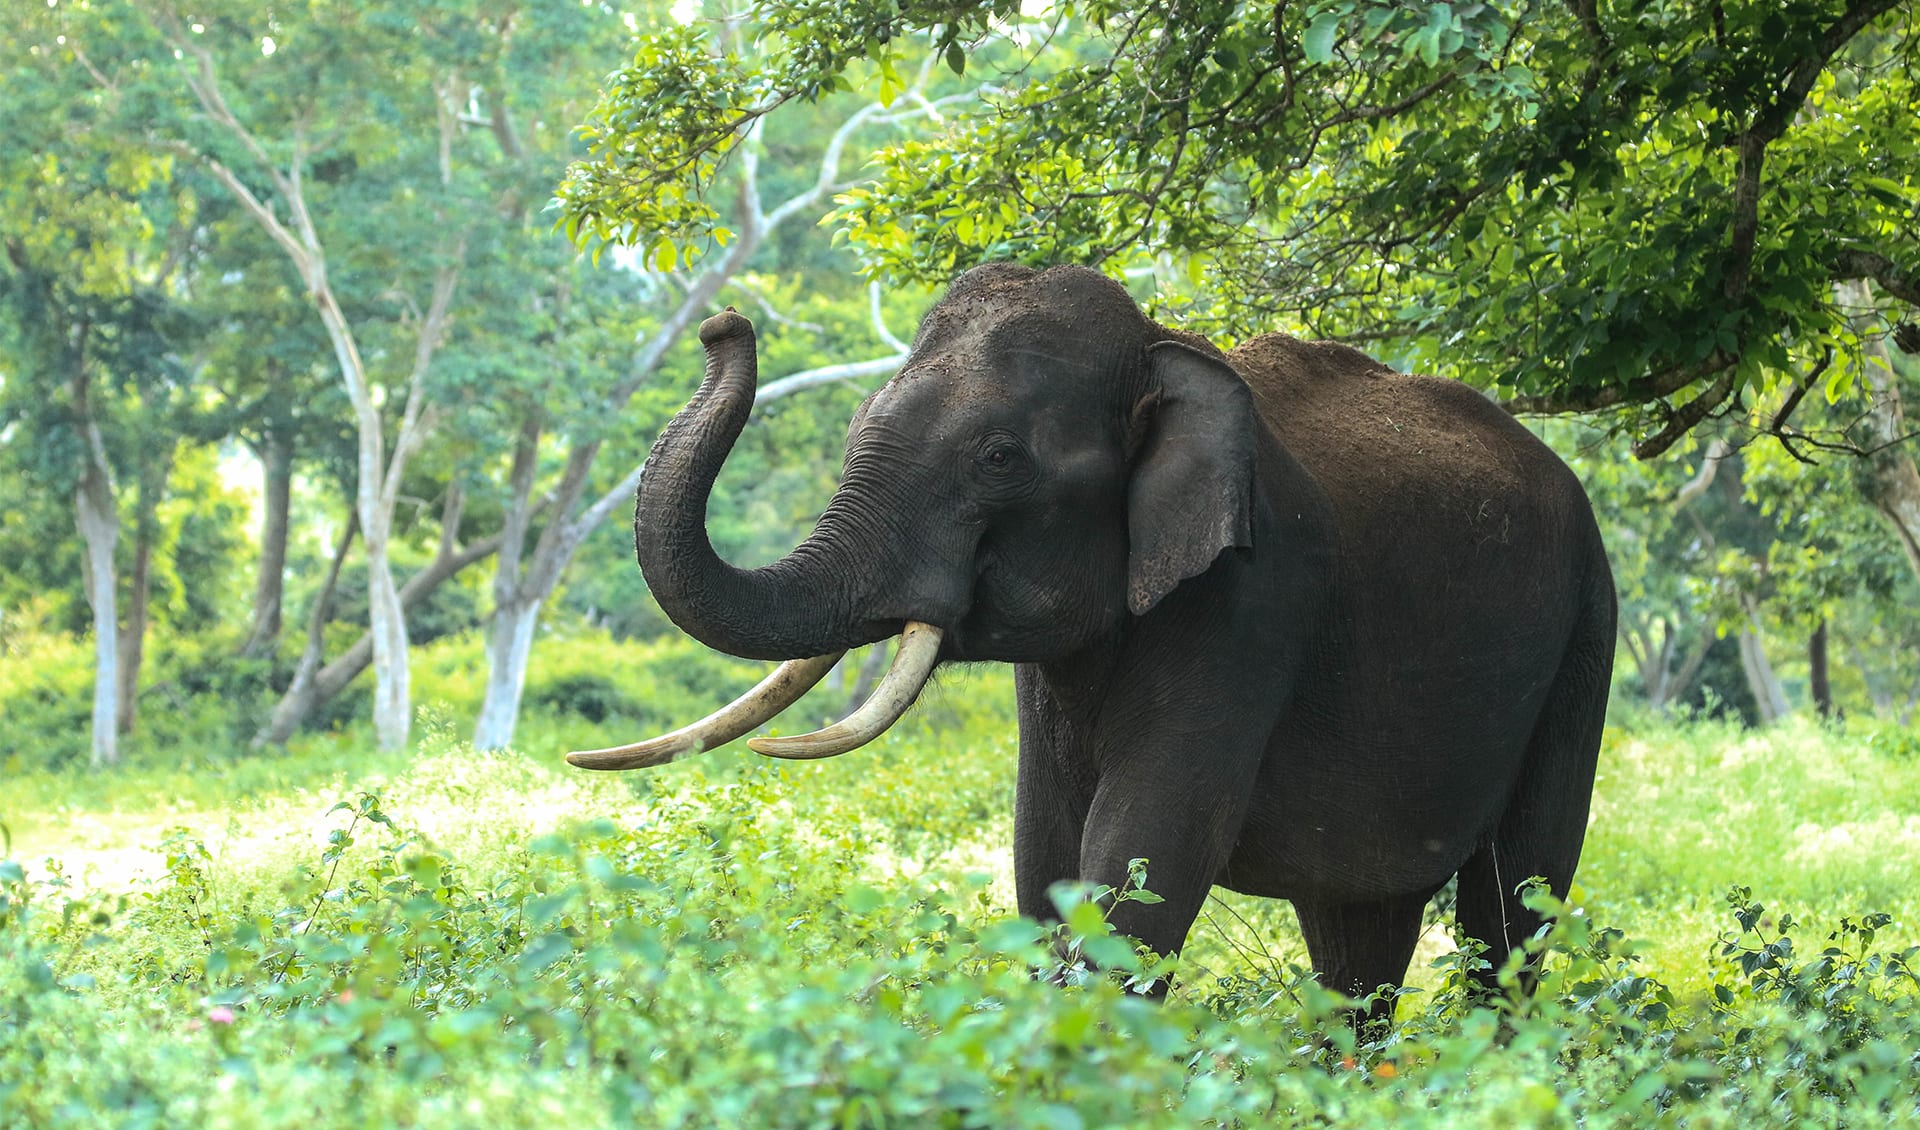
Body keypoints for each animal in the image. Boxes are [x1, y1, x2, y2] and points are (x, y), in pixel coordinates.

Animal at [570, 263, 1616, 1010]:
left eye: (998, 459)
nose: (723, 324)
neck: (1162, 348)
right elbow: (1046, 858)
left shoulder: (1251, 602)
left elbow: (1143, 858)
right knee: (1358, 934)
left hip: (1585, 633)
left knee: (1514, 906)